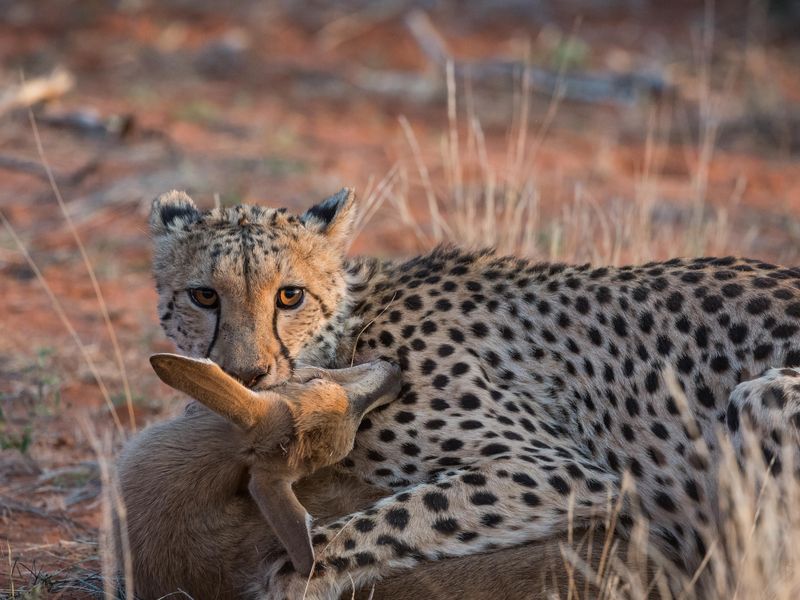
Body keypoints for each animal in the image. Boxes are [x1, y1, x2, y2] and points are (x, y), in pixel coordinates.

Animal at [149, 187, 800, 599]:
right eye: (204, 296)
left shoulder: (564, 470)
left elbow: (387, 520)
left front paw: (292, 574)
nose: (247, 374)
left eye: (290, 295)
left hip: (760, 399)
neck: (352, 333)